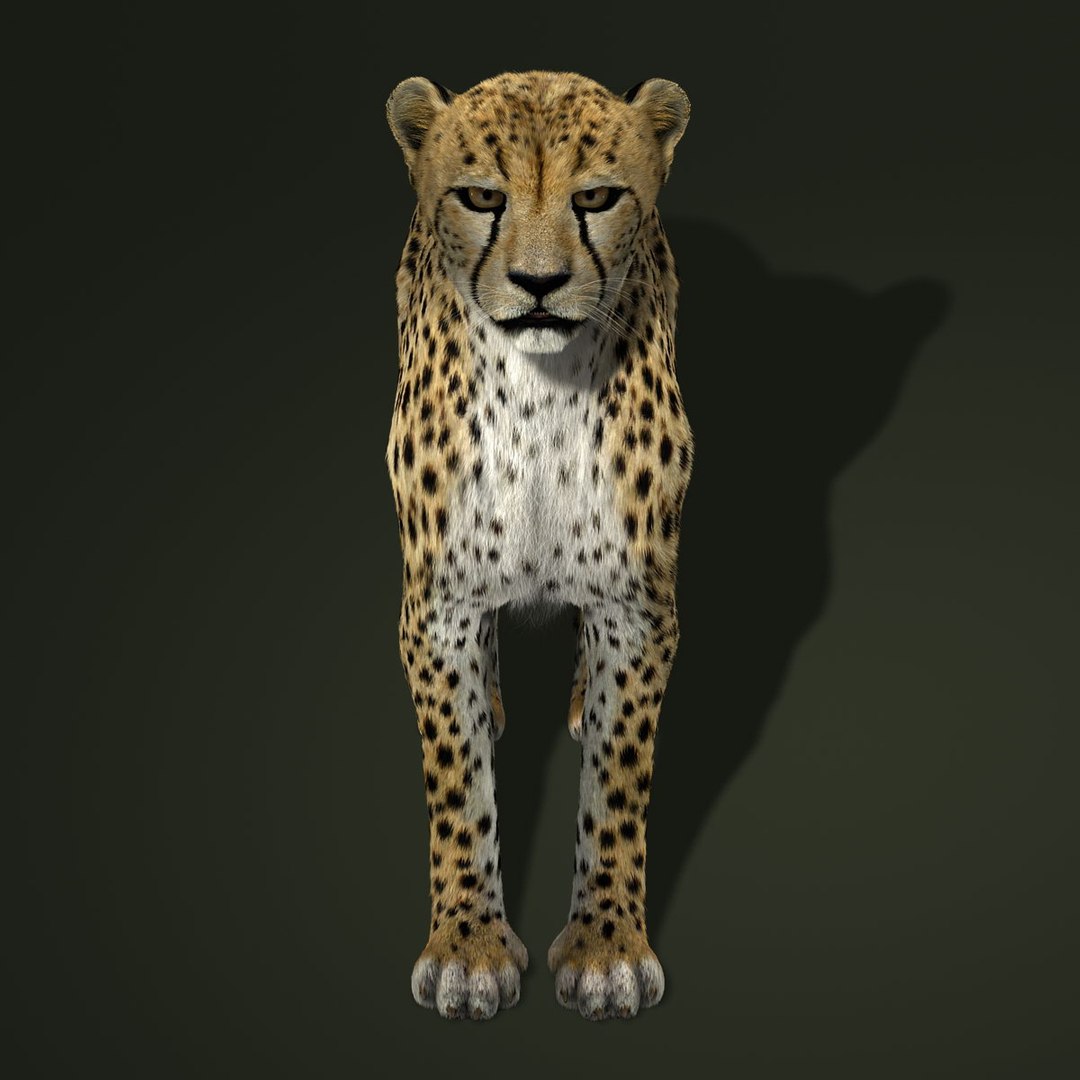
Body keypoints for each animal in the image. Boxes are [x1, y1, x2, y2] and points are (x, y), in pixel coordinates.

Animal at [385, 70, 693, 1021]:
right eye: (483, 197)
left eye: (594, 198)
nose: (540, 281)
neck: (540, 389)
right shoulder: (438, 605)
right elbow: (457, 784)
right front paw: (467, 947)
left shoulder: (637, 607)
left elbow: (619, 782)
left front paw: (606, 947)